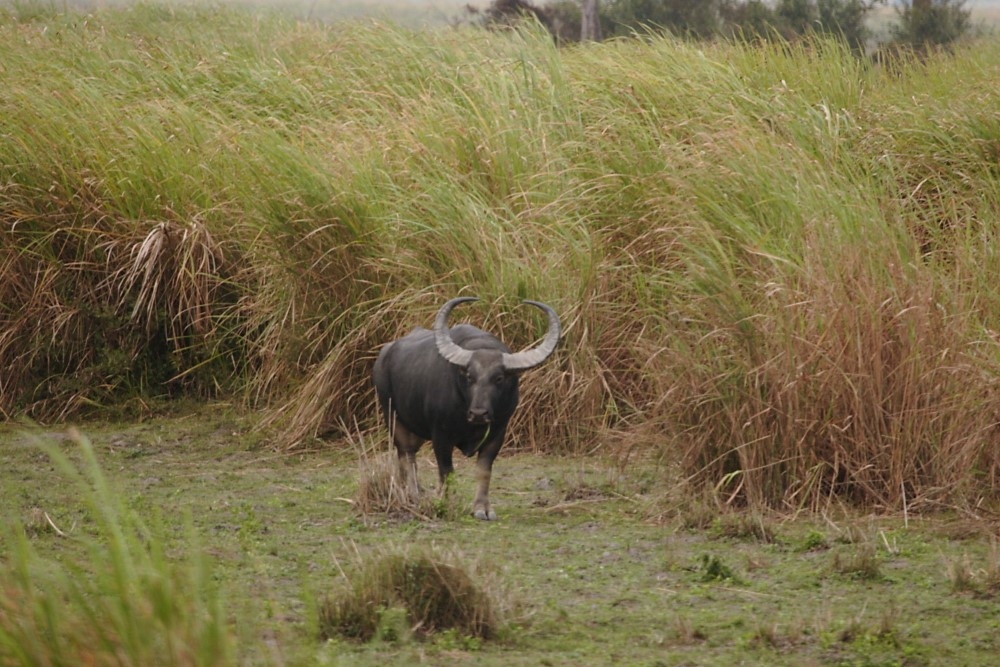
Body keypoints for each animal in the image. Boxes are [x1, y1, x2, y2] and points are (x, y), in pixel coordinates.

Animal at [372, 297, 560, 520]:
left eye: (499, 378)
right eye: (470, 376)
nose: (479, 413)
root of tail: (383, 357)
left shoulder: (498, 433)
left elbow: (483, 471)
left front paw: (482, 508)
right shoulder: (440, 436)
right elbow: (446, 471)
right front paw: (447, 502)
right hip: (393, 418)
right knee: (406, 455)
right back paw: (413, 494)